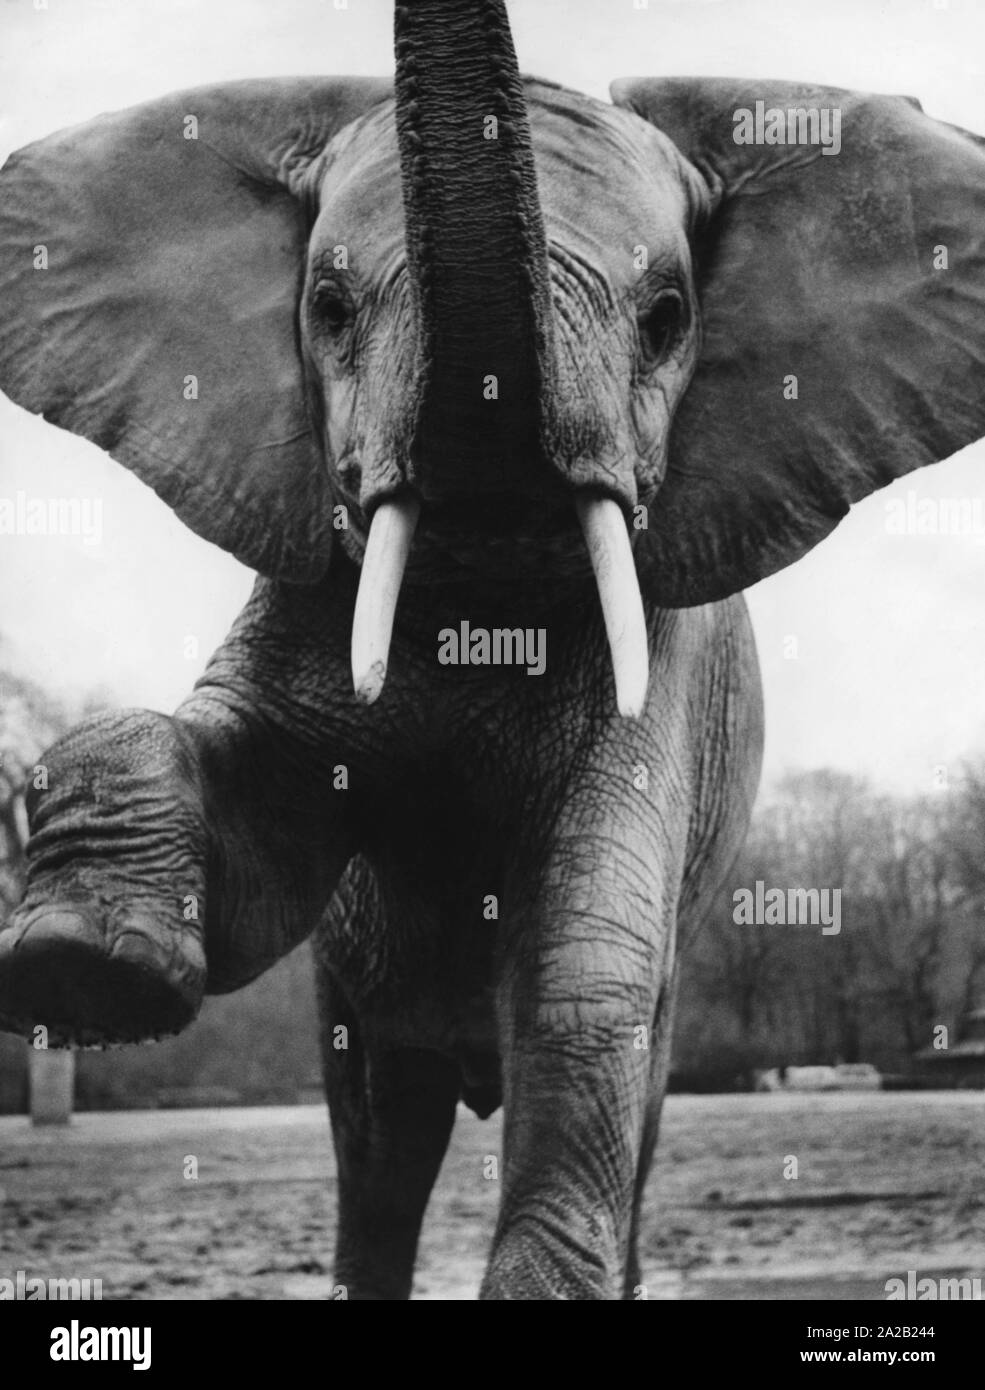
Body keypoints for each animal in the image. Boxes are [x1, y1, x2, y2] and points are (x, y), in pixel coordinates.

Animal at [1, 0, 984, 1300]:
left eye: (666, 318)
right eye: (328, 308)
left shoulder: (664, 660)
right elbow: (260, 852)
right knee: (376, 1142)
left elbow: (583, 975)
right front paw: (78, 968)